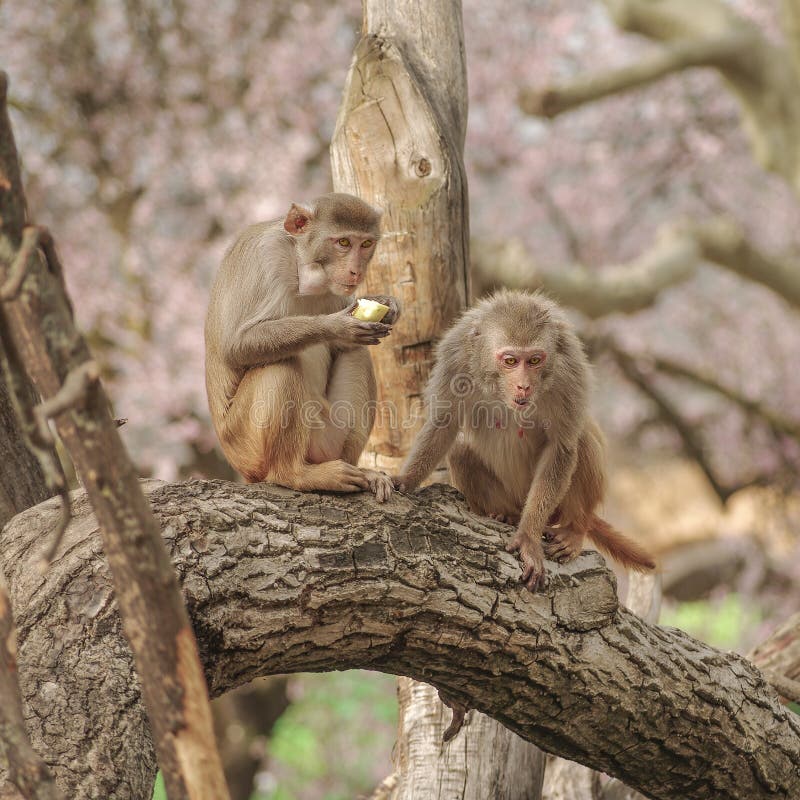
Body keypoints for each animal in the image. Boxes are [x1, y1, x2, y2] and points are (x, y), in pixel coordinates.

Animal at [205, 192, 400, 501]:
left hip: (326, 437)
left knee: (356, 353)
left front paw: (388, 304)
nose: (356, 271)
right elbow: (235, 346)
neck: (299, 264)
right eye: (343, 243)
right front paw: (337, 326)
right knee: (280, 367)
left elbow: (345, 346)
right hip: (243, 446)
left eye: (366, 244)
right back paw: (294, 474)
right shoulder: (266, 258)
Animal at [393, 290, 655, 591]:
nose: (524, 385)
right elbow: (443, 424)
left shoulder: (569, 371)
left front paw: (529, 537)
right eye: (510, 361)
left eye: (534, 361)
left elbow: (561, 447)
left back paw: (575, 528)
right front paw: (407, 480)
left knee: (581, 442)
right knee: (460, 449)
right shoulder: (455, 359)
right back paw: (504, 514)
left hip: (555, 509)